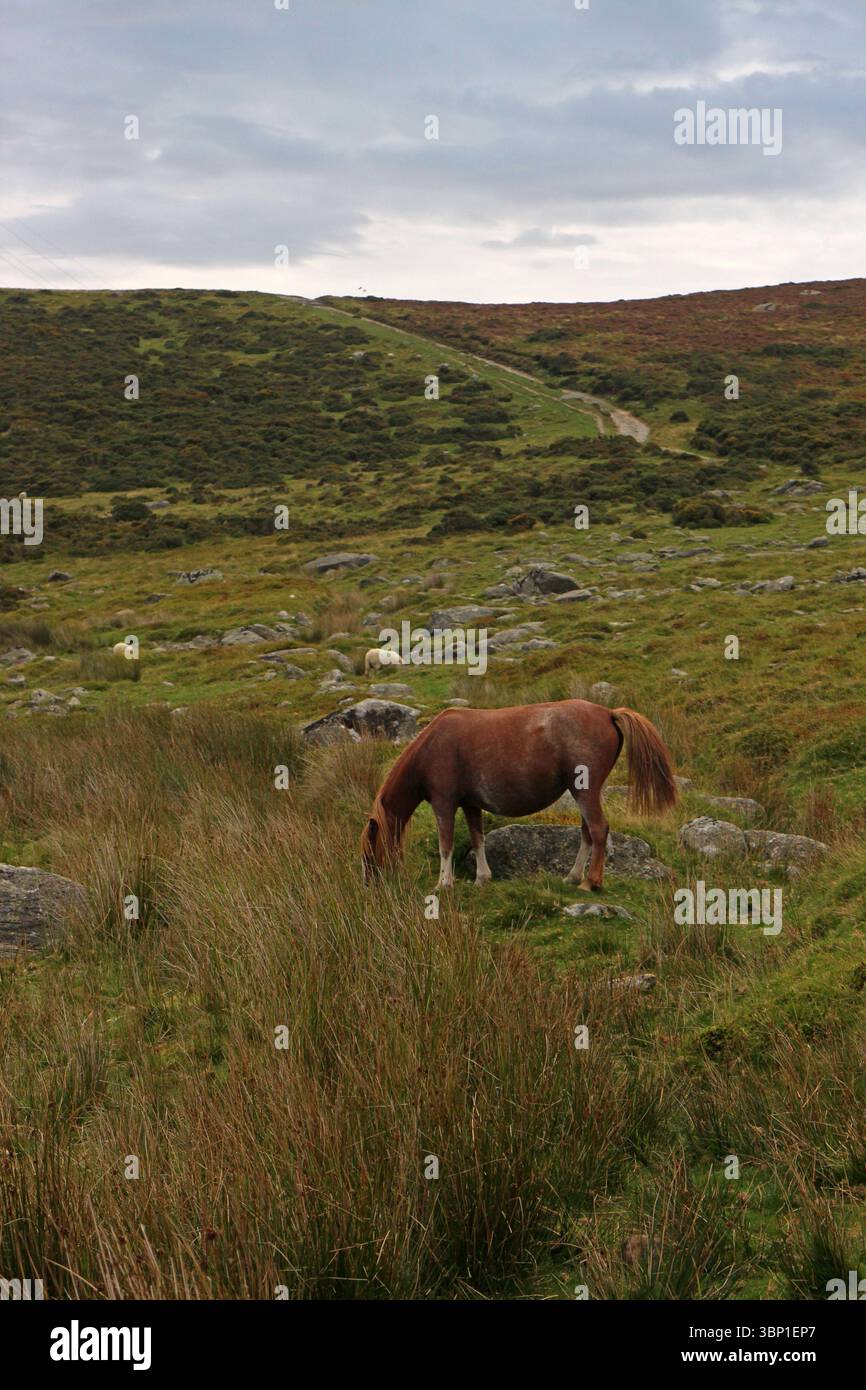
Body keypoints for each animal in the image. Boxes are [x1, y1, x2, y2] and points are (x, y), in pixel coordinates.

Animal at [361, 699, 677, 891]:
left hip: (584, 791)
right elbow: (477, 839)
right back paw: (574, 876)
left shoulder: (443, 803)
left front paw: (443, 884)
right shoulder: (470, 805)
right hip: (586, 792)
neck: (431, 747)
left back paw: (591, 882)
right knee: (588, 832)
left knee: (598, 829)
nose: (370, 883)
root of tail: (607, 713)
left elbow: (445, 845)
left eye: (368, 851)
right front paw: (482, 878)